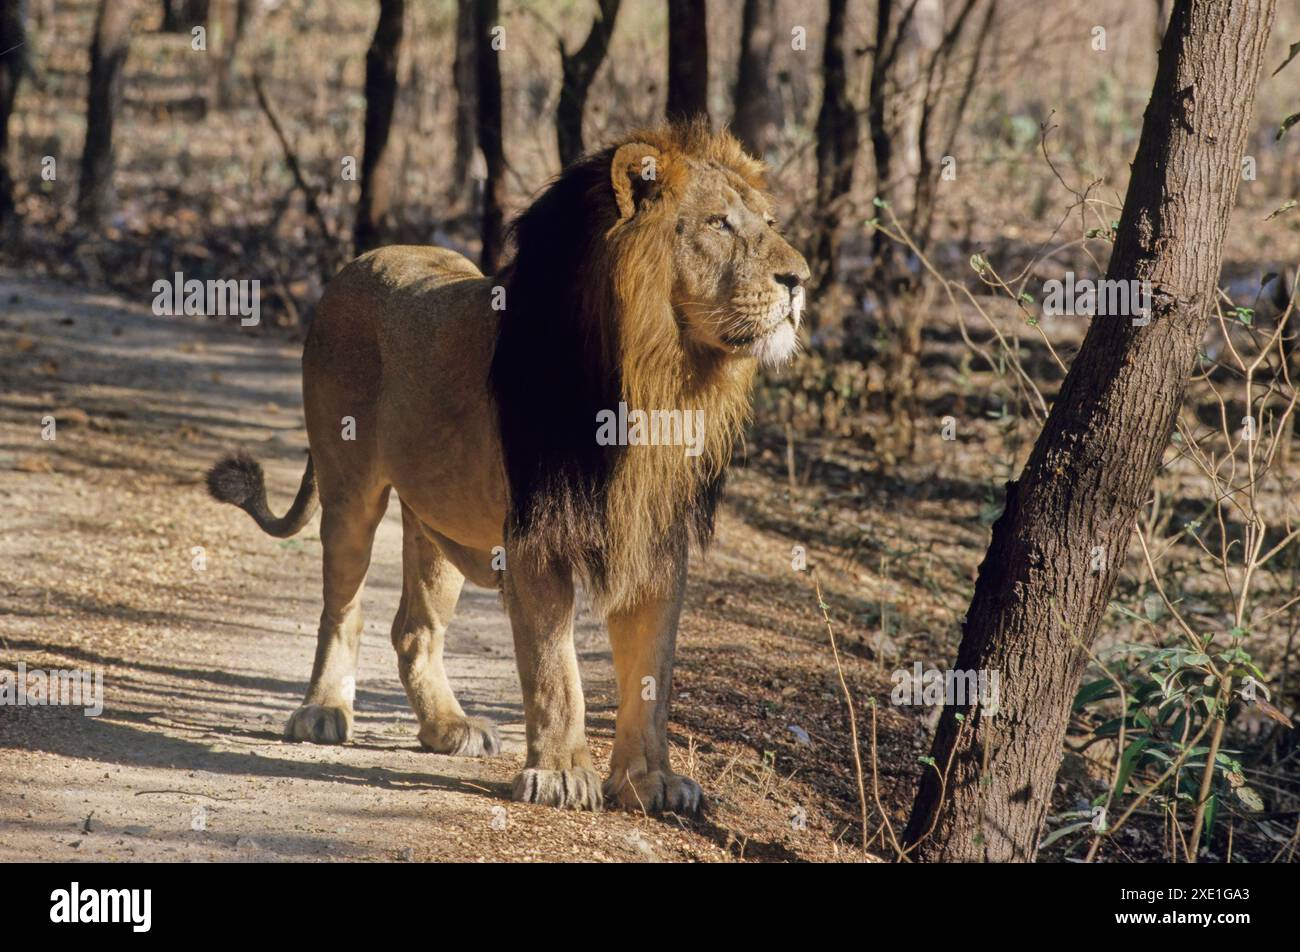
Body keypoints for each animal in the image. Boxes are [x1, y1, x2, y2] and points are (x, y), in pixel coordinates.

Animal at [206, 121, 810, 813]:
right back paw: (323, 710)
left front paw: (649, 780)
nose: (800, 279)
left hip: (437, 520)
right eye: (719, 223)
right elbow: (556, 669)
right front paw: (562, 775)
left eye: (769, 221)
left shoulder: (656, 538)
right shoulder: (536, 535)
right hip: (350, 487)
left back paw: (449, 727)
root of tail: (356, 263)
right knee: (344, 605)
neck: (661, 378)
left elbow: (652, 672)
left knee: (414, 628)